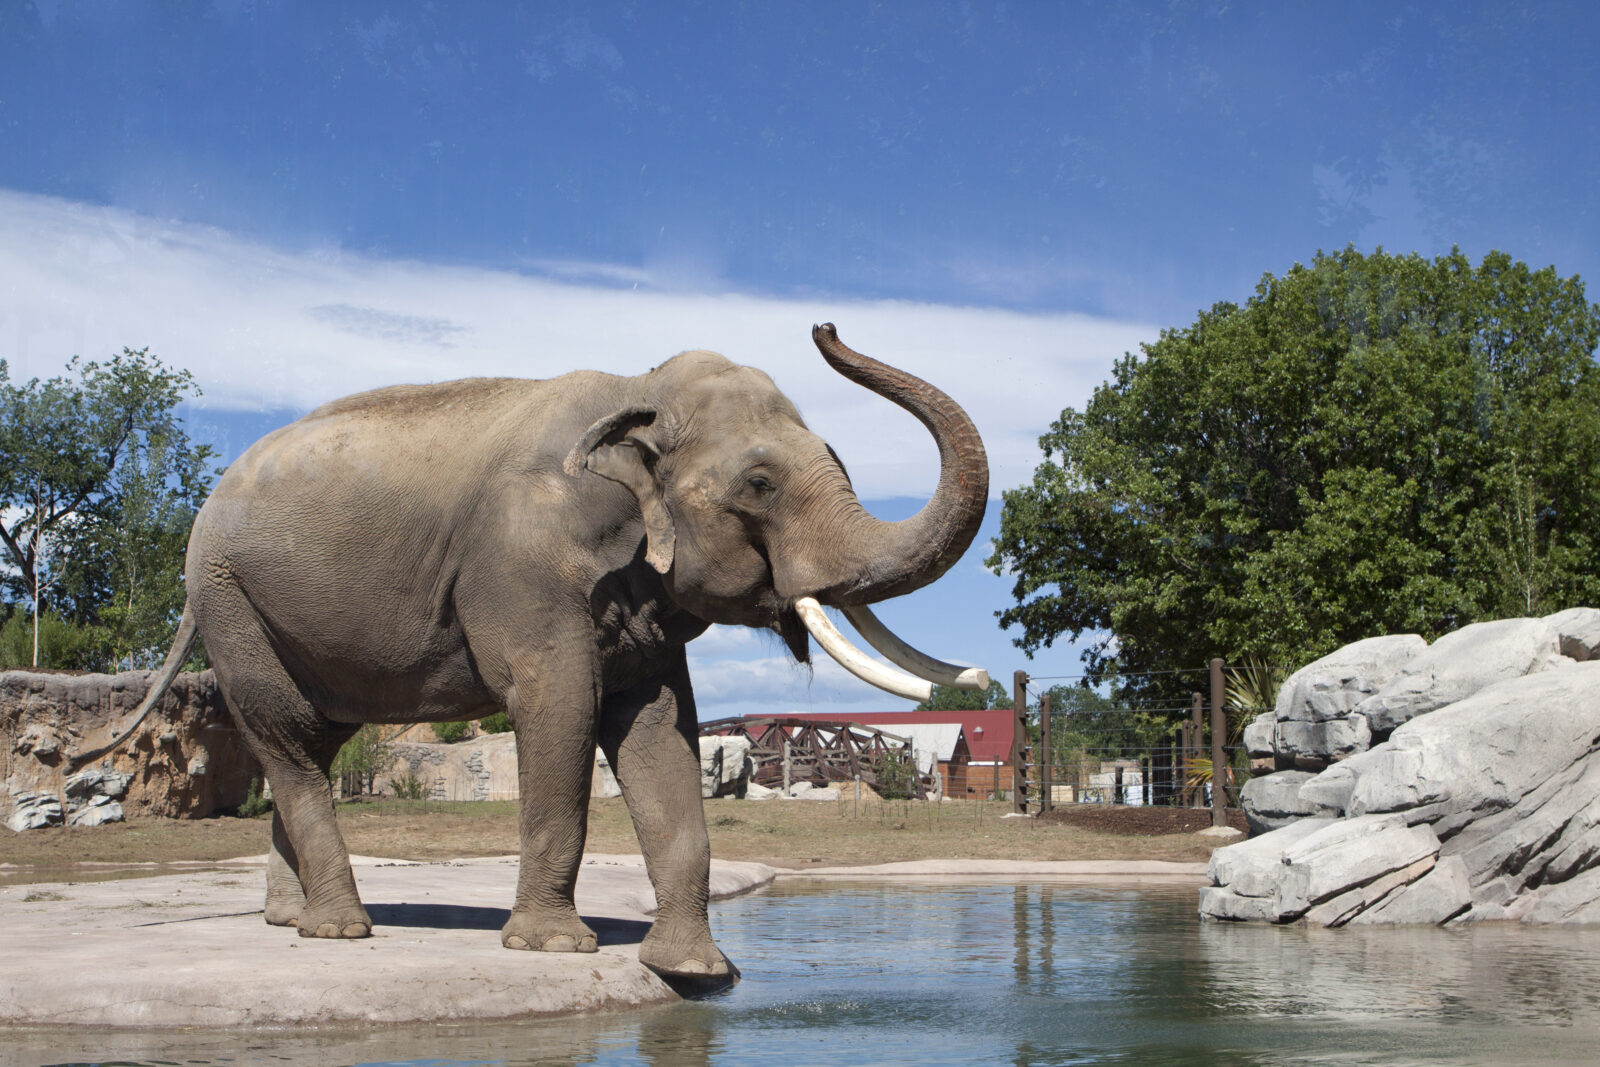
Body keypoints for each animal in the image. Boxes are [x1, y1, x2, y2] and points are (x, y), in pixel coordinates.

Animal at [102, 324, 988, 981]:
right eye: (760, 485)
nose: (825, 327)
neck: (639, 391)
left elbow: (660, 727)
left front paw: (698, 972)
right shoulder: (522, 563)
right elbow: (558, 705)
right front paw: (554, 948)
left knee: (312, 739)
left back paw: (292, 919)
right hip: (229, 598)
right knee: (285, 738)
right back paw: (340, 931)